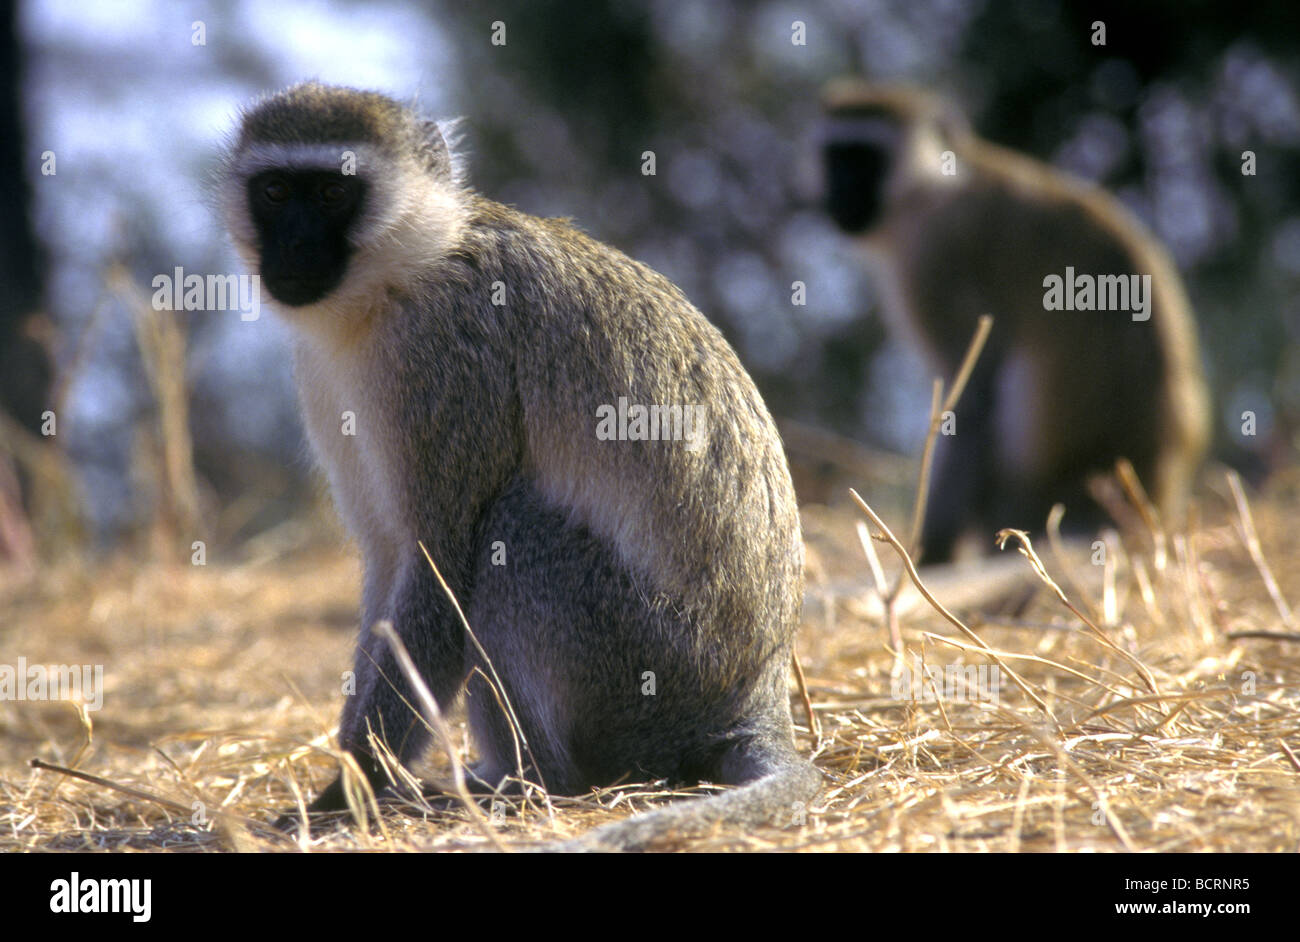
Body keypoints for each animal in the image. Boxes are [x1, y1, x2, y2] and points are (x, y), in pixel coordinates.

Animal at [219, 82, 821, 851]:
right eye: (274, 191)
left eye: (330, 192)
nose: (292, 246)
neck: (408, 268)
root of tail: (754, 701)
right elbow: (389, 558)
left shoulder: (447, 354)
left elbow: (440, 564)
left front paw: (346, 793)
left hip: (645, 671)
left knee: (513, 528)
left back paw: (533, 783)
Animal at [821, 81, 1210, 563]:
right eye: (834, 157)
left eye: (861, 158)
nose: (838, 191)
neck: (933, 189)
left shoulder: (934, 257)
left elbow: (974, 398)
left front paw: (929, 555)